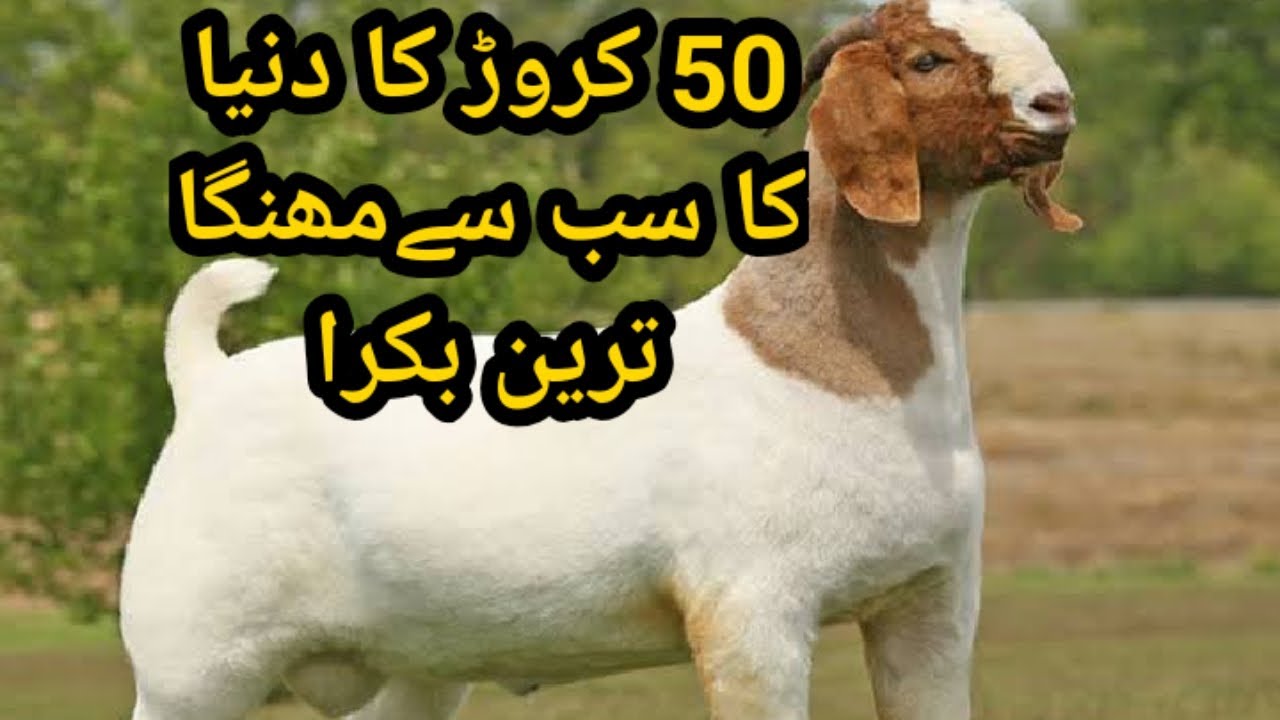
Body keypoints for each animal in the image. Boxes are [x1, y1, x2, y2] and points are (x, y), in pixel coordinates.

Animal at [120, 1, 1082, 718]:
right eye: (927, 58)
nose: (1056, 104)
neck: (824, 358)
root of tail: (207, 380)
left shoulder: (933, 604)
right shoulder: (753, 613)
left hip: (414, 671)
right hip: (190, 666)